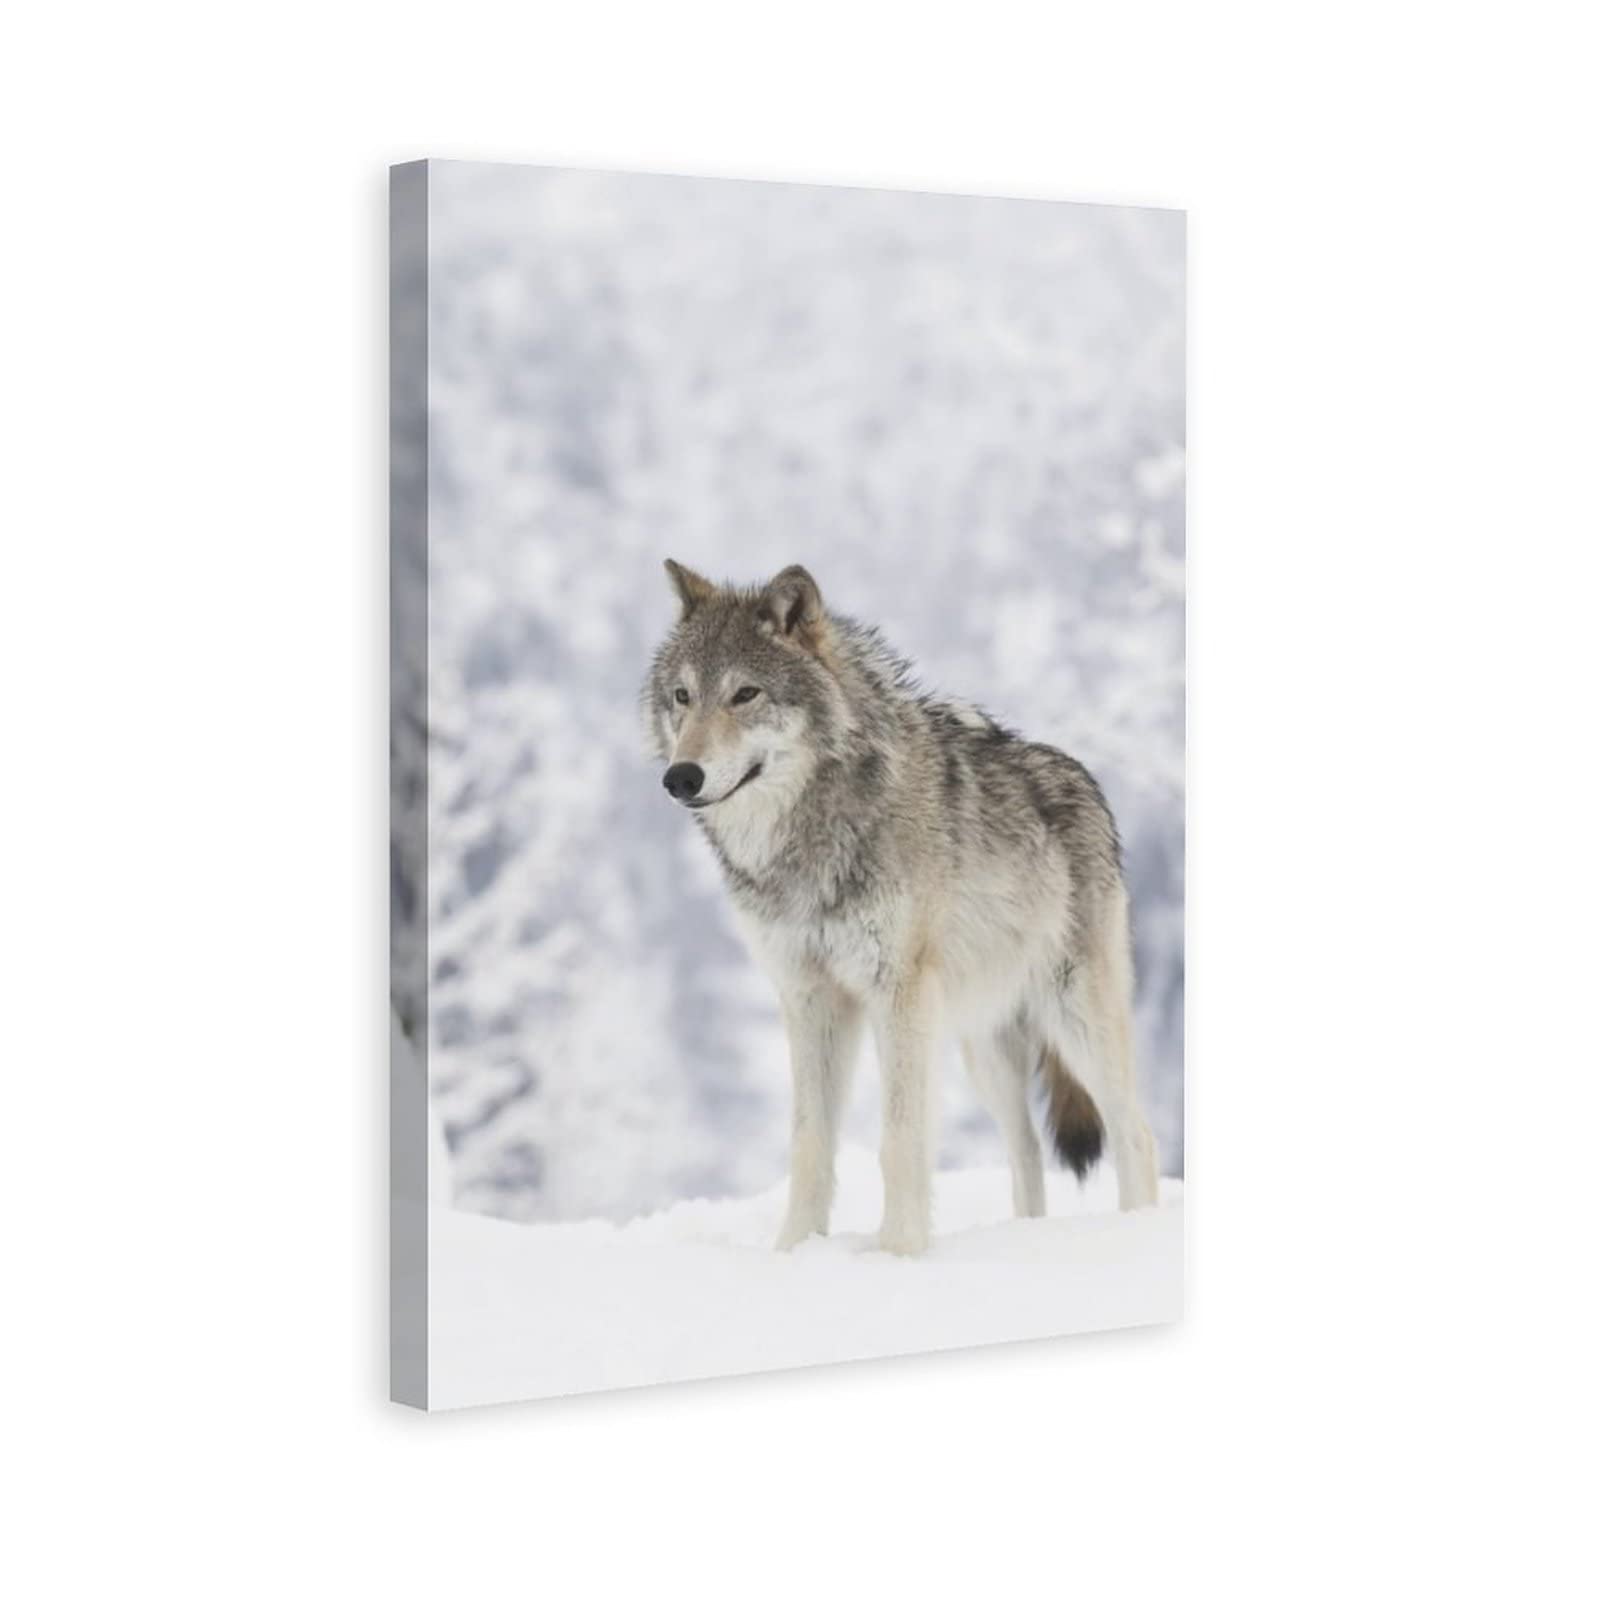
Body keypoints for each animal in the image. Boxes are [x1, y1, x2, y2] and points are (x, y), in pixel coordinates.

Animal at [644, 559, 1161, 1254]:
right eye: (682, 696)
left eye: (745, 694)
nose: (681, 778)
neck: (810, 839)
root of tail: (1087, 783)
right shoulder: (810, 999)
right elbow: (810, 1144)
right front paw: (794, 1252)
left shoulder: (899, 995)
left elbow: (900, 1140)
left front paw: (898, 1253)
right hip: (984, 1049)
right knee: (1025, 1150)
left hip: (1074, 1017)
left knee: (1136, 1132)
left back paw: (1135, 1230)